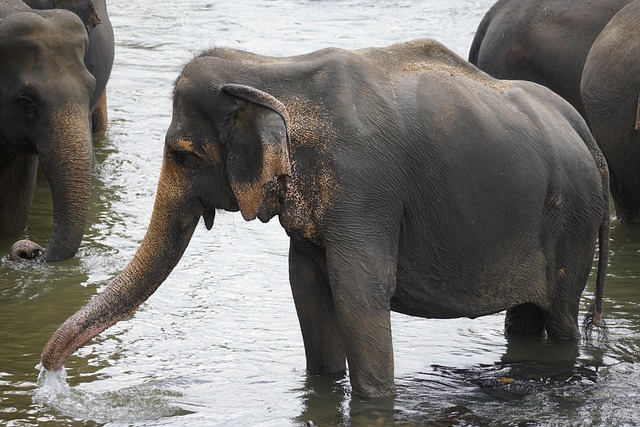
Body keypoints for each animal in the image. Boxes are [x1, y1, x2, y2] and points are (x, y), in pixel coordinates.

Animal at [41, 39, 610, 397]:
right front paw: (320, 384)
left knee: (561, 317)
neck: (276, 70)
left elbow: (359, 292)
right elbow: (307, 286)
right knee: (525, 317)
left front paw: (375, 397)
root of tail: (583, 130)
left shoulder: (364, 188)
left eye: (182, 154)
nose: (48, 377)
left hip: (573, 225)